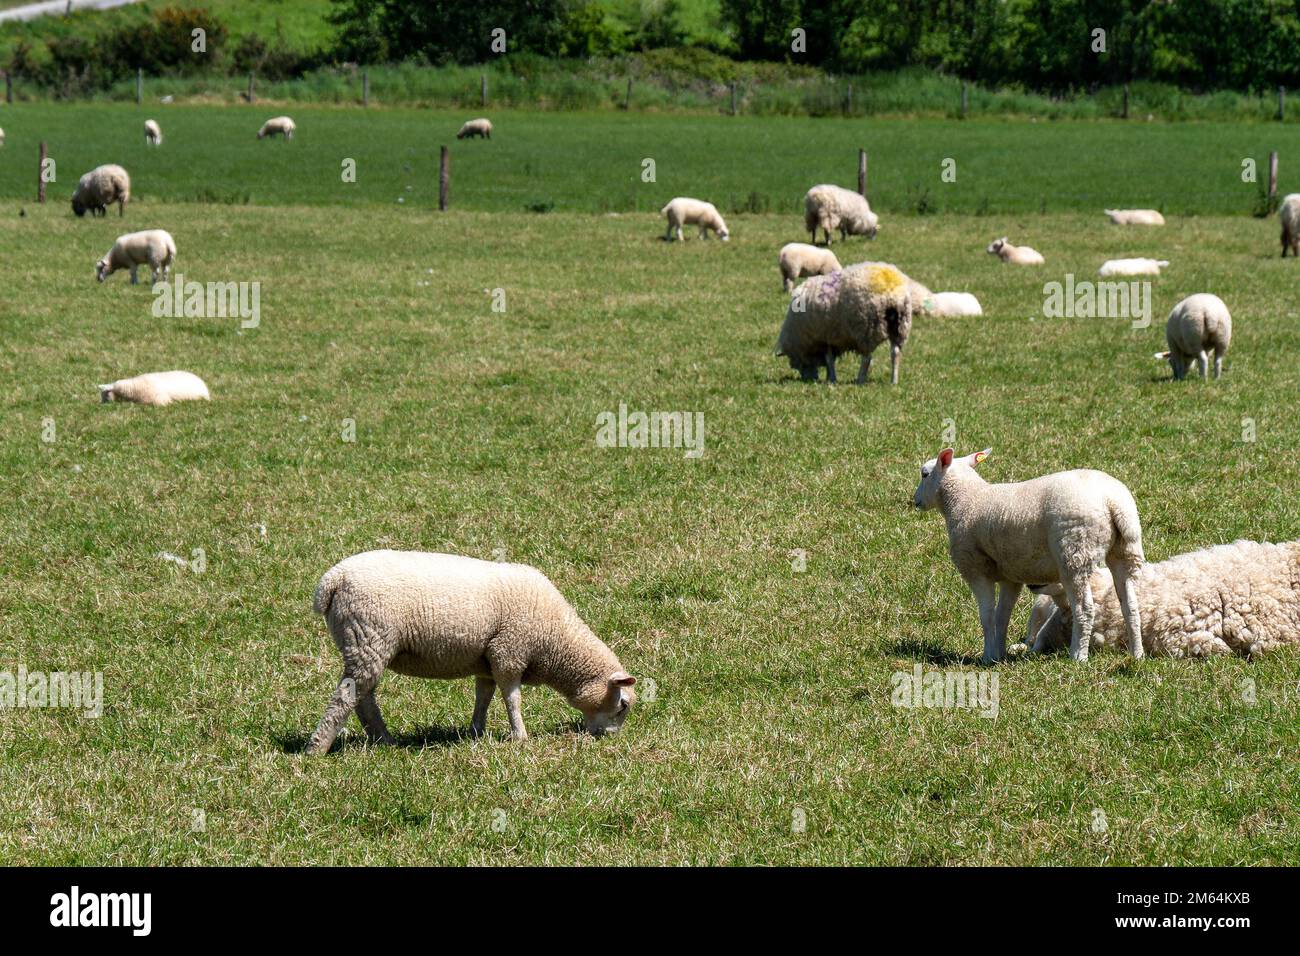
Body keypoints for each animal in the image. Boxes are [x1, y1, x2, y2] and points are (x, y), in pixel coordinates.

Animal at [305, 550, 637, 752]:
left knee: (363, 697)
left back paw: (383, 740)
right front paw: (520, 736)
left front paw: (477, 732)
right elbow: (512, 699)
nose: (610, 739)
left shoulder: (487, 661)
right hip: (369, 637)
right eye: (622, 706)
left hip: (365, 643)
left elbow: (484, 697)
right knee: (347, 697)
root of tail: (332, 580)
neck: (555, 639)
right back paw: (317, 749)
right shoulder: (508, 653)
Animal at [776, 260, 912, 385]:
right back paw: (894, 381)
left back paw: (860, 380)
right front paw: (829, 378)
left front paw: (831, 378)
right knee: (895, 353)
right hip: (900, 326)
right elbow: (830, 359)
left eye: (797, 364)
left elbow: (829, 359)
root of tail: (891, 289)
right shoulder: (831, 338)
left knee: (867, 358)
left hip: (867, 328)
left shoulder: (824, 337)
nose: (810, 379)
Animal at [913, 448, 1145, 664]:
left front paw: (987, 657)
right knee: (1130, 606)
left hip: (1075, 551)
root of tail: (1113, 502)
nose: (915, 500)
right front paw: (998, 655)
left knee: (1085, 608)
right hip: (1124, 551)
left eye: (924, 474)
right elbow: (1002, 616)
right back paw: (1137, 654)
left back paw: (1078, 656)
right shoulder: (1011, 576)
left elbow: (987, 616)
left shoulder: (975, 567)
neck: (967, 500)